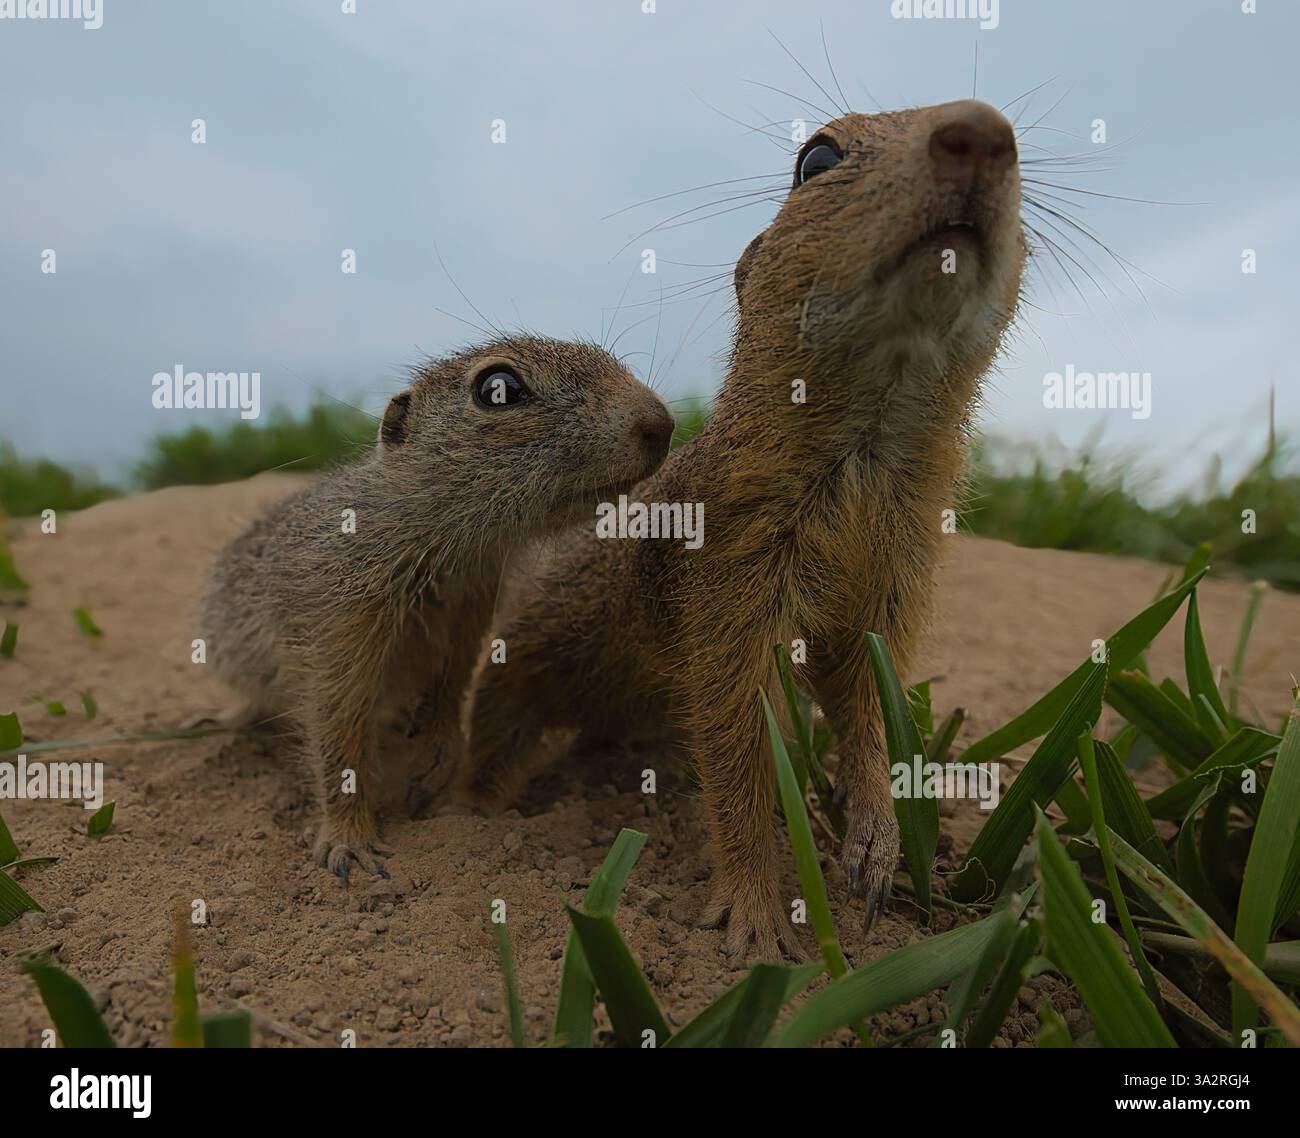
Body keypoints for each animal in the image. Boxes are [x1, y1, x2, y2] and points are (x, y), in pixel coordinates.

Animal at [197, 337, 674, 881]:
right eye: (498, 388)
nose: (660, 422)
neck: (442, 549)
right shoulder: (339, 628)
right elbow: (337, 737)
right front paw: (349, 841)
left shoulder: (472, 611)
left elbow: (451, 688)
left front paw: (440, 757)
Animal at [456, 100, 1027, 958]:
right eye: (815, 160)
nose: (984, 127)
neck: (865, 460)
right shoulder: (729, 581)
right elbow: (738, 761)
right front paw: (758, 923)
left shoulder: (893, 583)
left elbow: (869, 707)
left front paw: (876, 847)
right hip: (514, 676)